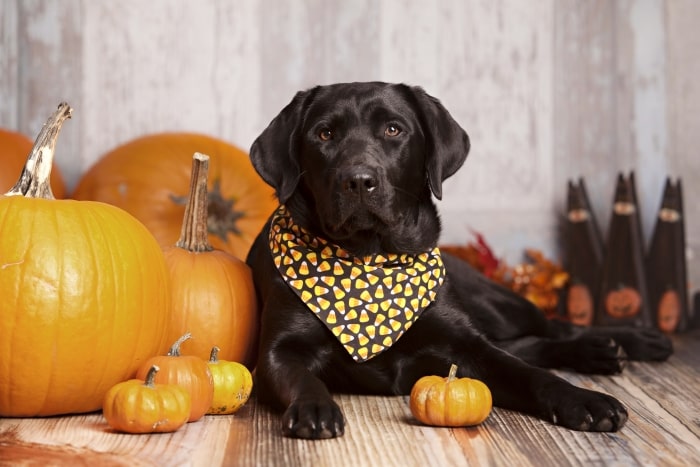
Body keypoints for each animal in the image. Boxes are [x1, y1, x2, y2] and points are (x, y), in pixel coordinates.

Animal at [245, 81, 672, 438]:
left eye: (393, 130)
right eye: (324, 134)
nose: (359, 180)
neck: (371, 259)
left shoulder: (467, 344)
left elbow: (530, 374)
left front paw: (584, 399)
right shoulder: (280, 351)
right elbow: (302, 377)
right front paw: (314, 407)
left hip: (497, 305)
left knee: (550, 328)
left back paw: (627, 342)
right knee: (530, 342)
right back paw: (601, 351)